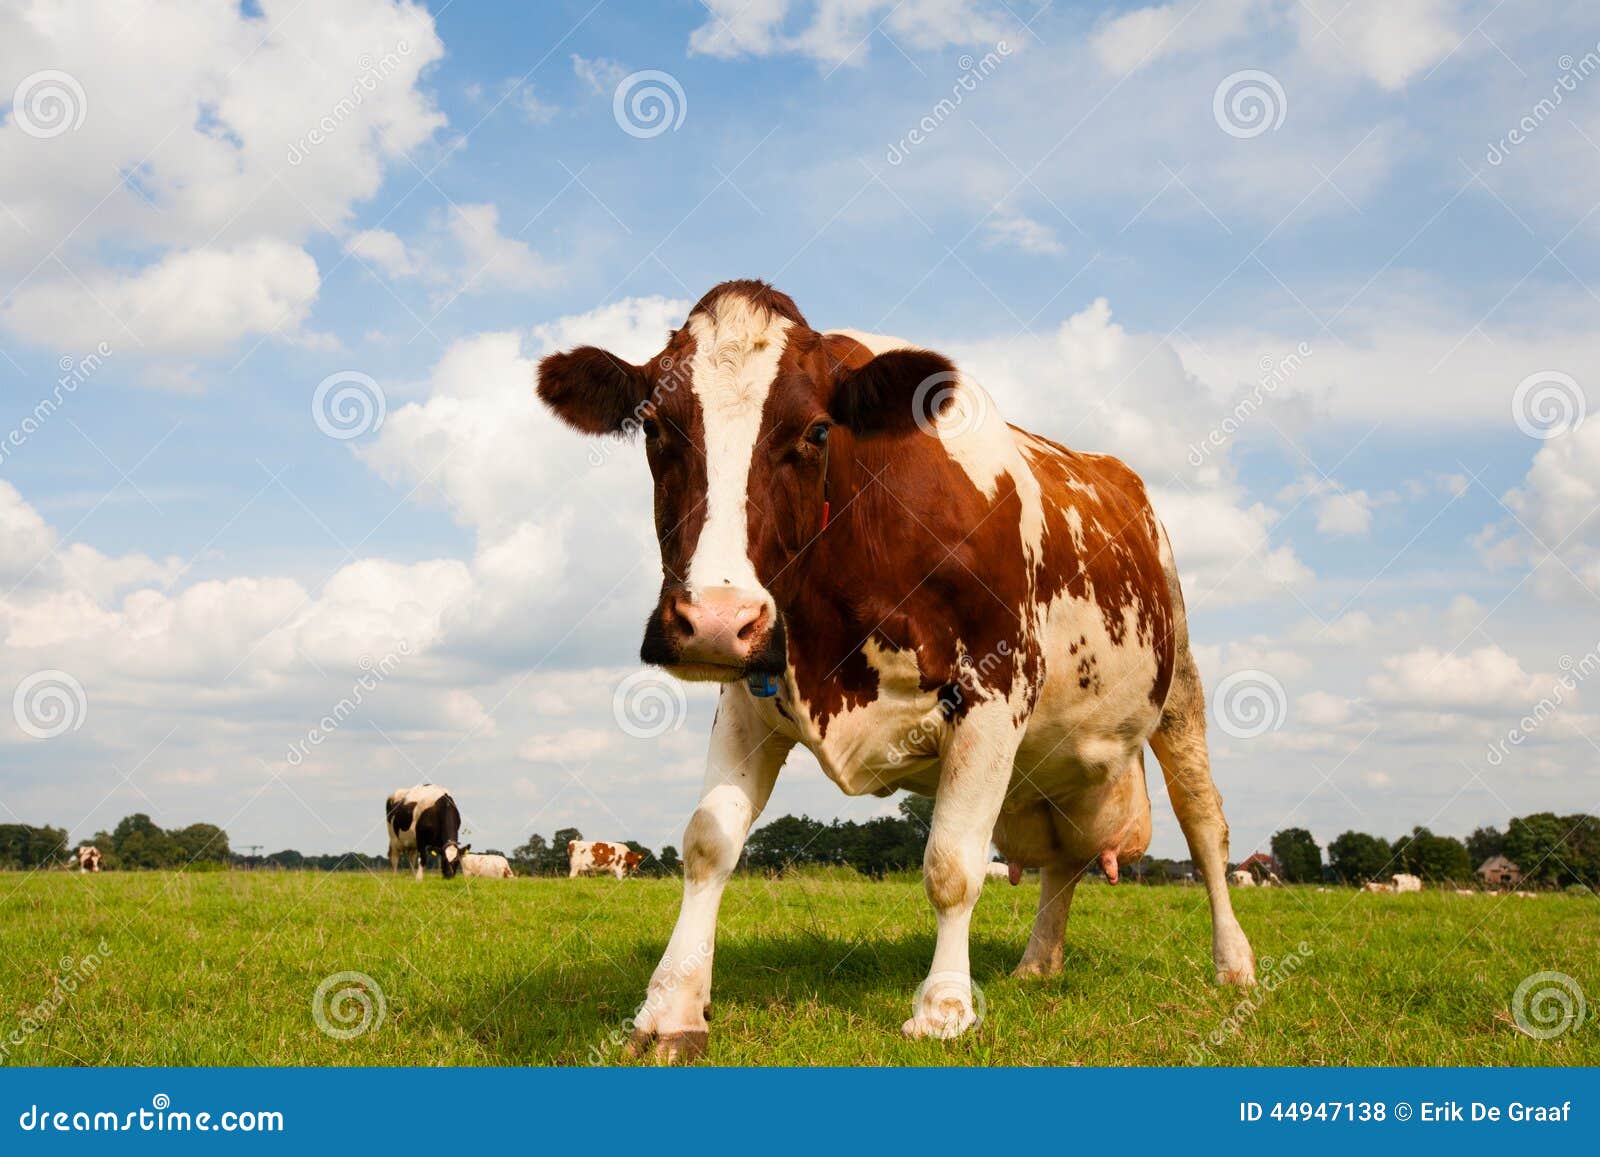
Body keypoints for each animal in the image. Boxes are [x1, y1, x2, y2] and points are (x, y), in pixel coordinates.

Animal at [537, 280, 1255, 1060]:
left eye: (818, 432)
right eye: (654, 427)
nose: (718, 620)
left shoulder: (996, 689)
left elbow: (951, 865)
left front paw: (943, 1009)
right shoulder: (748, 693)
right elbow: (707, 843)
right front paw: (672, 1009)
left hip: (1178, 685)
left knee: (1205, 825)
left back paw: (1234, 964)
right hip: (1051, 765)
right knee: (1065, 855)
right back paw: (1038, 962)